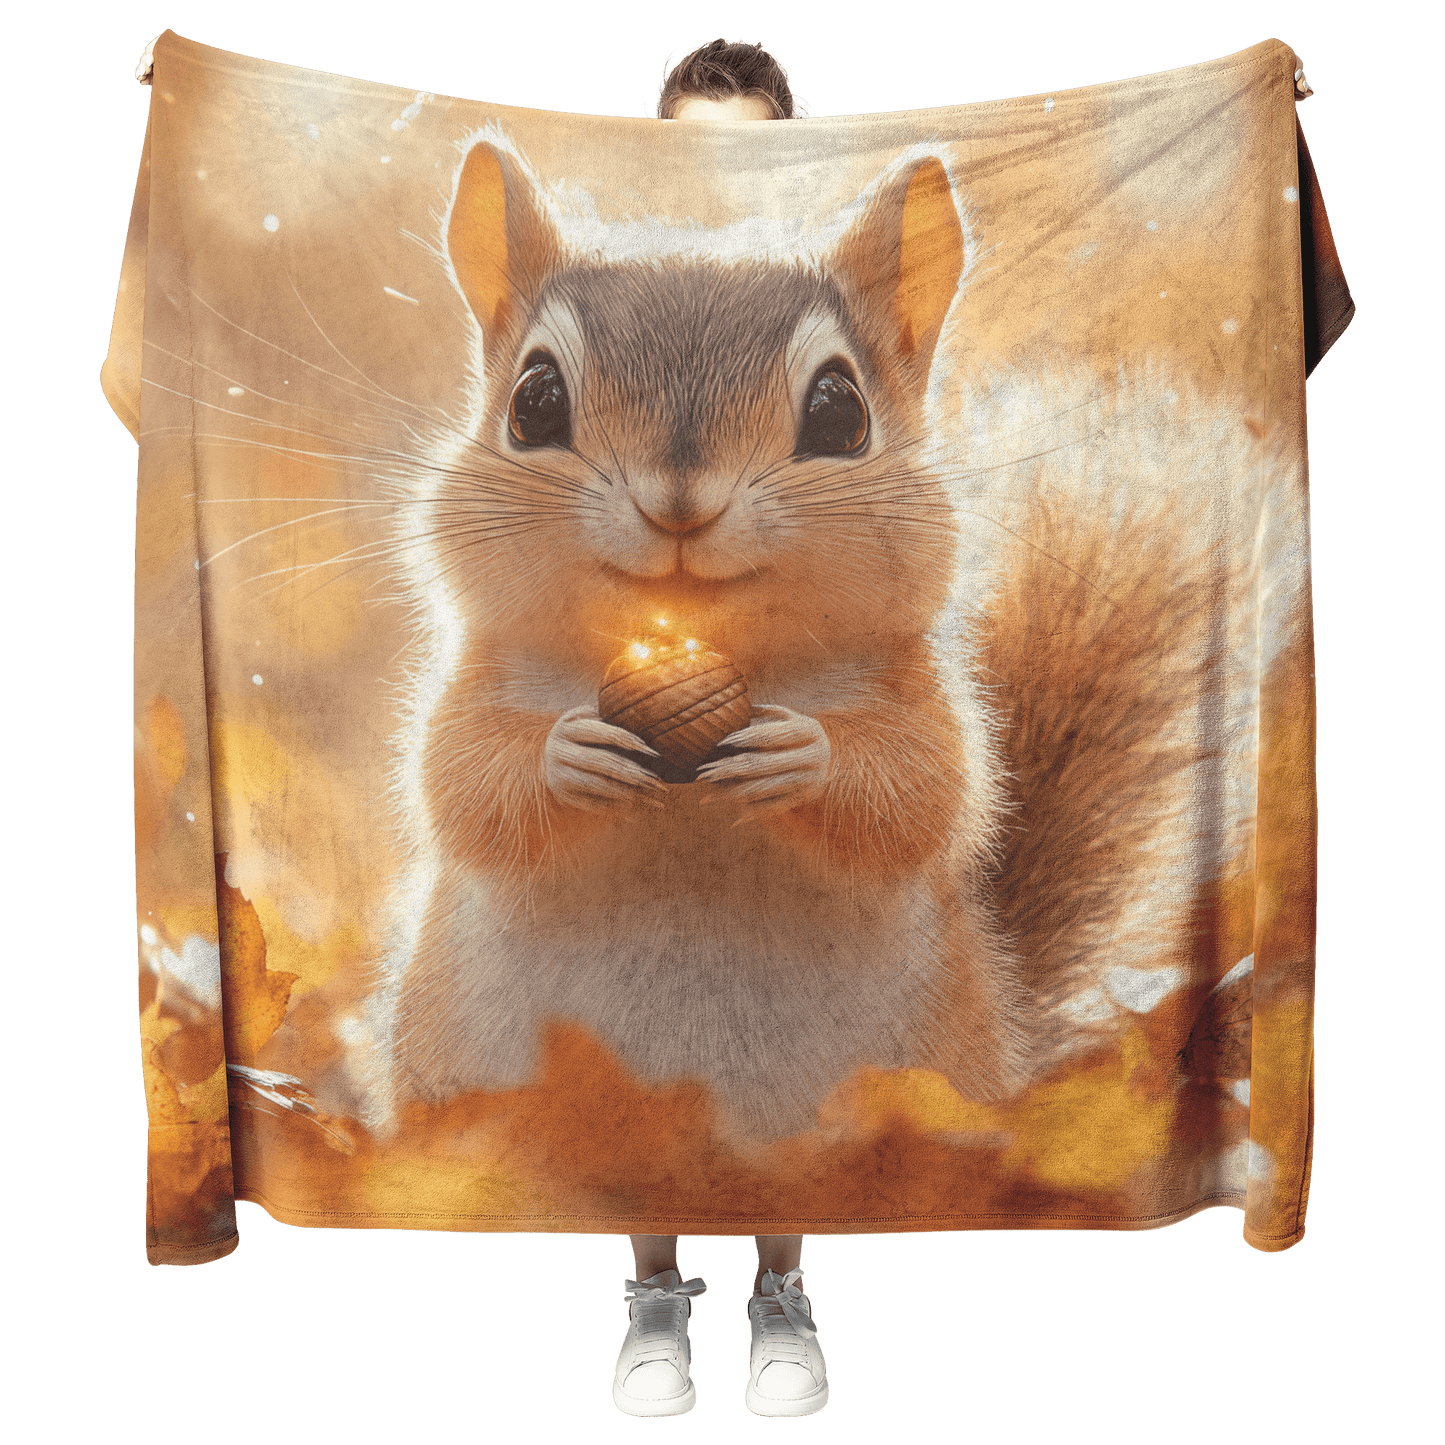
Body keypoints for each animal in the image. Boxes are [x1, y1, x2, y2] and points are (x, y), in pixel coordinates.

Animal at [356, 126, 1277, 1144]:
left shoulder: (917, 694)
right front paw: (568, 751)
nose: (679, 505)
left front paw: (805, 754)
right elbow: (461, 778)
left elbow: (922, 787)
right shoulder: (474, 680)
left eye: (841, 412)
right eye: (534, 402)